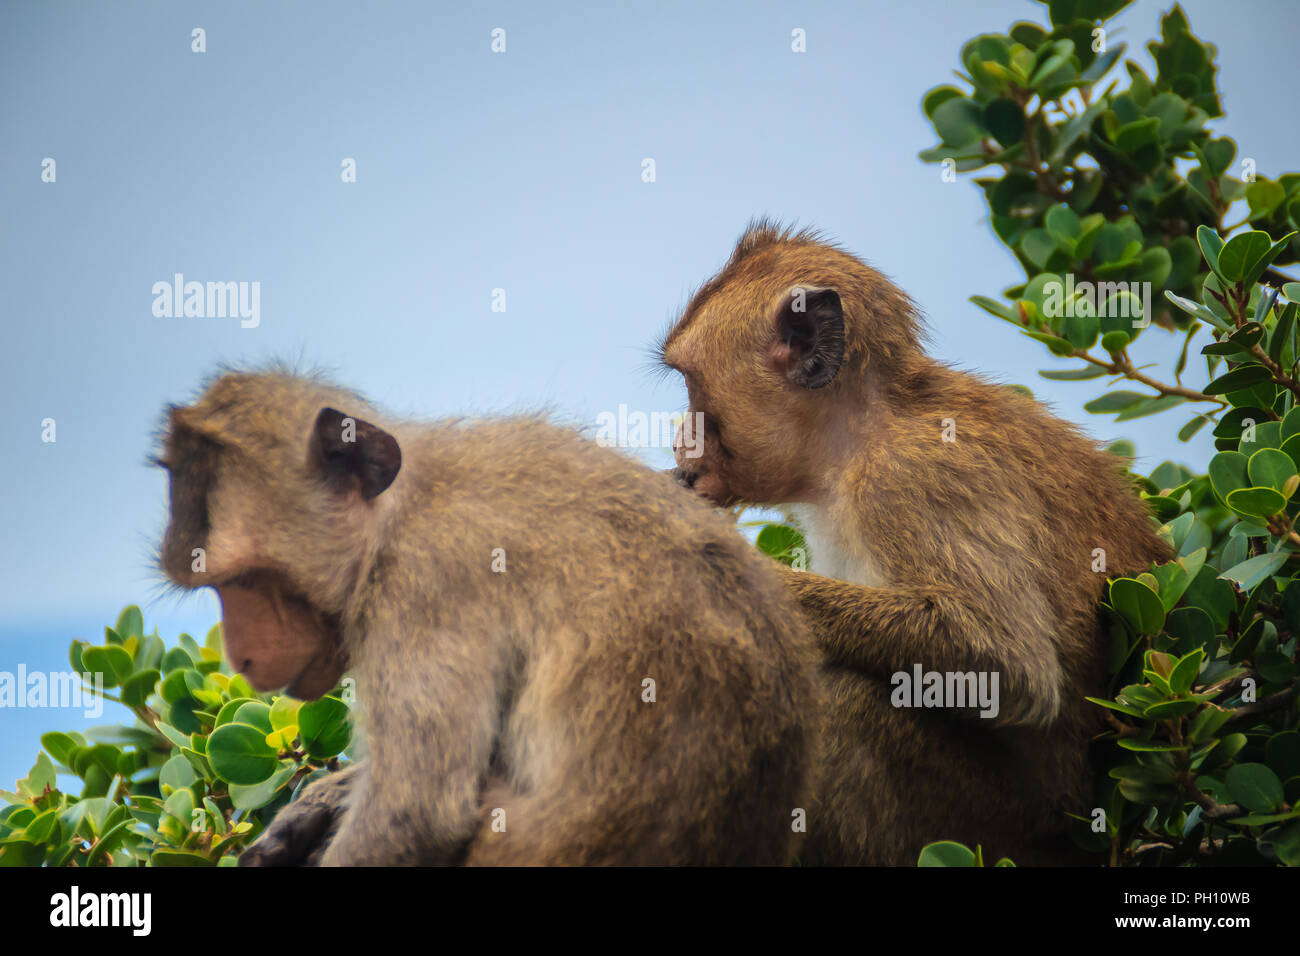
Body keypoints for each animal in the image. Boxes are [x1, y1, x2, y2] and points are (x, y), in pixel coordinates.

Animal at [155, 367, 817, 866]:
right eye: (219, 586)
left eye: (250, 582)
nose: (240, 655)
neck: (399, 512)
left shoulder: (424, 590)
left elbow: (414, 812)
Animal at [660, 220, 1170, 865]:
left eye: (688, 385)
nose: (679, 439)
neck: (855, 441)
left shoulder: (913, 479)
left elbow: (1007, 664)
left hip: (993, 825)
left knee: (839, 699)